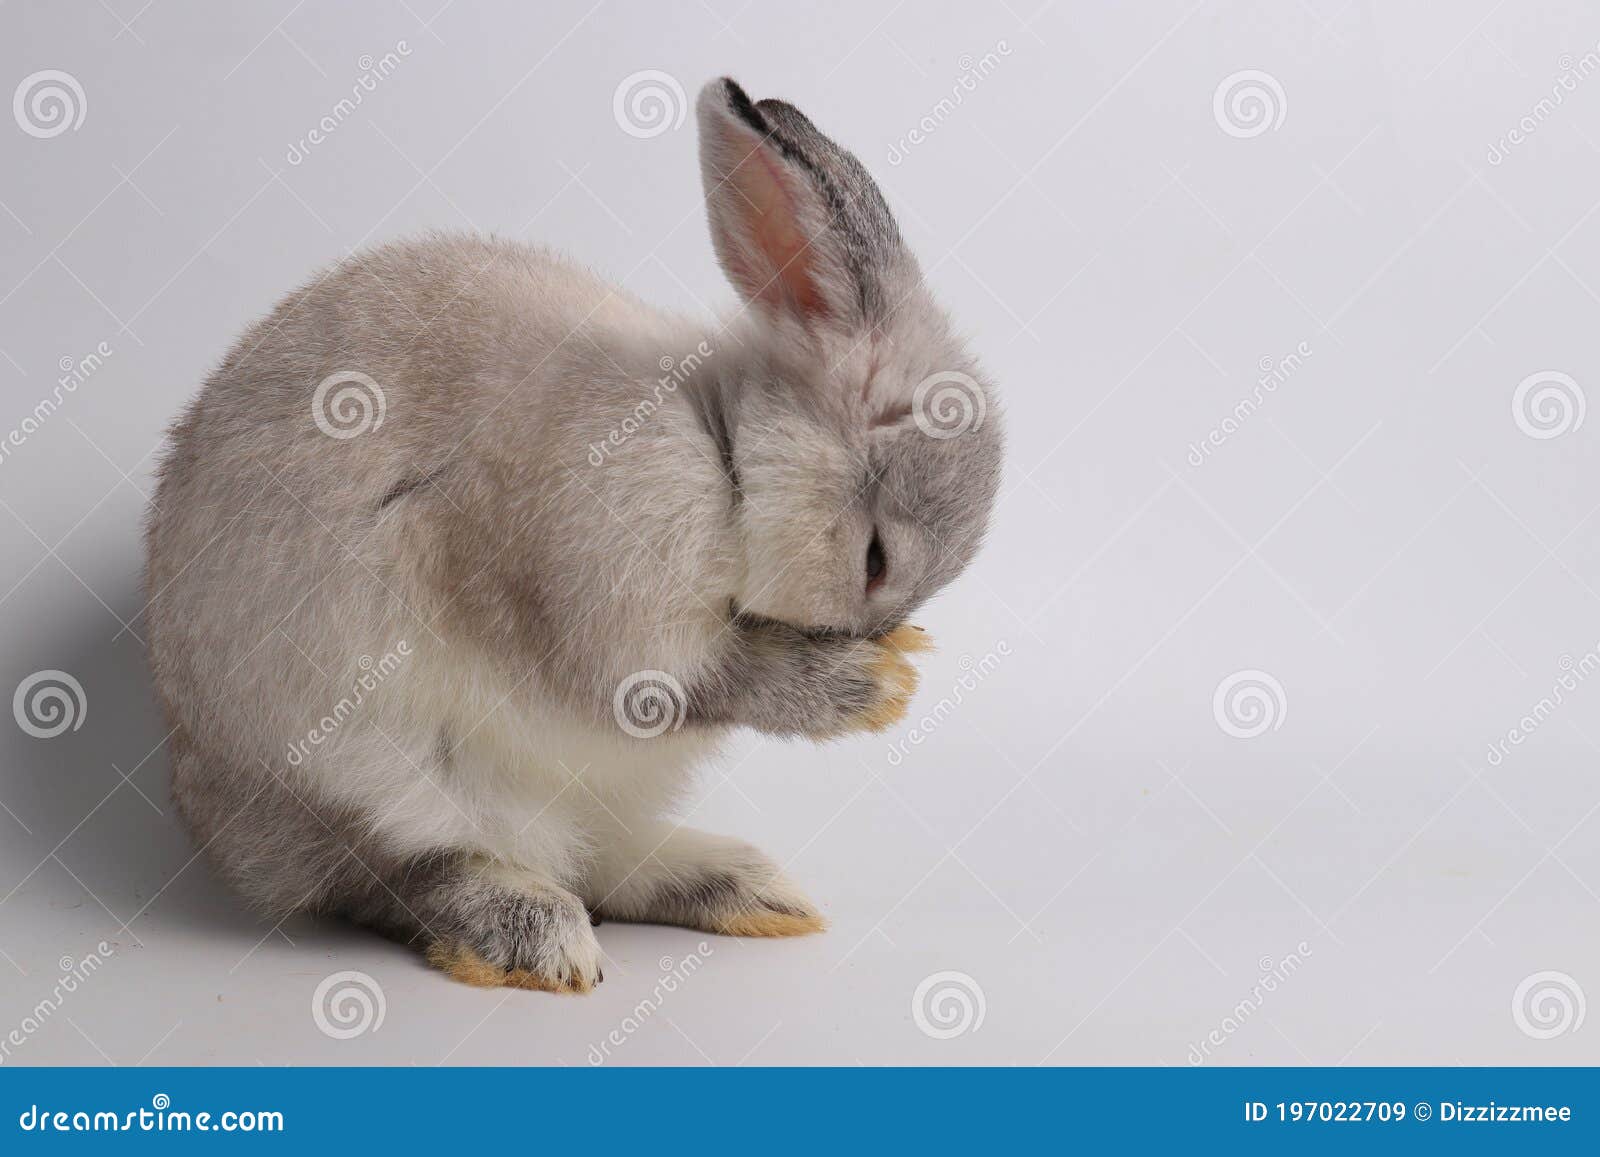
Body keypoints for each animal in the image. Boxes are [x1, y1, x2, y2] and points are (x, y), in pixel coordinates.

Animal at [144, 77, 1003, 992]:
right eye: (875, 559)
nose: (882, 636)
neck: (721, 451)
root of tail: (217, 825)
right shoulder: (618, 608)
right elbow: (702, 679)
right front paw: (875, 687)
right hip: (369, 772)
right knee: (391, 874)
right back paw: (532, 933)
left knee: (598, 858)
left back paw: (748, 891)